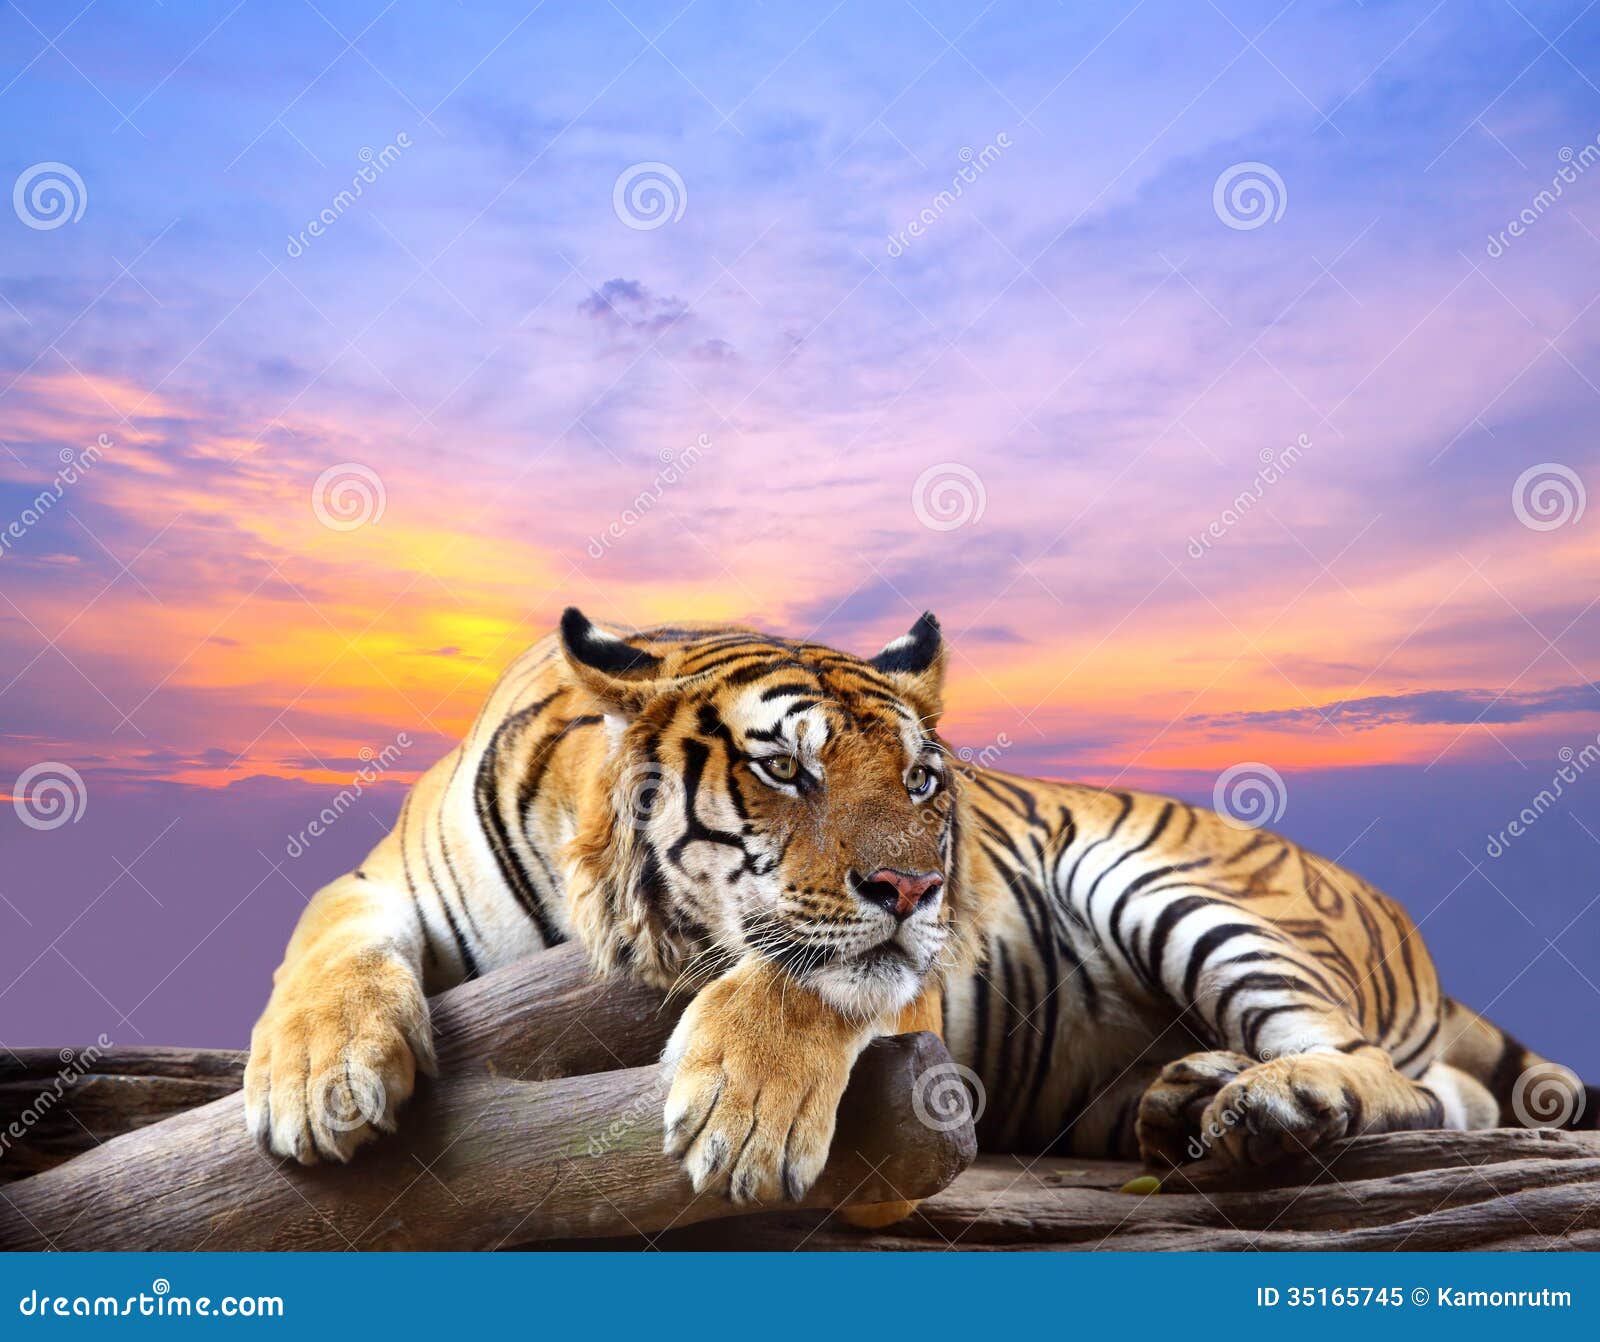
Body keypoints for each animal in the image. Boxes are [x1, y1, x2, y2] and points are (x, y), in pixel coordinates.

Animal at [245, 608, 1597, 1214]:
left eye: (922, 782)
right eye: (782, 768)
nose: (916, 887)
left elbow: (808, 976)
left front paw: (741, 1120)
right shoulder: (381, 882)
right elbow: (322, 941)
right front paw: (318, 1085)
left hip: (1171, 885)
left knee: (1394, 1078)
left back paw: (1269, 1106)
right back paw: (1188, 1097)